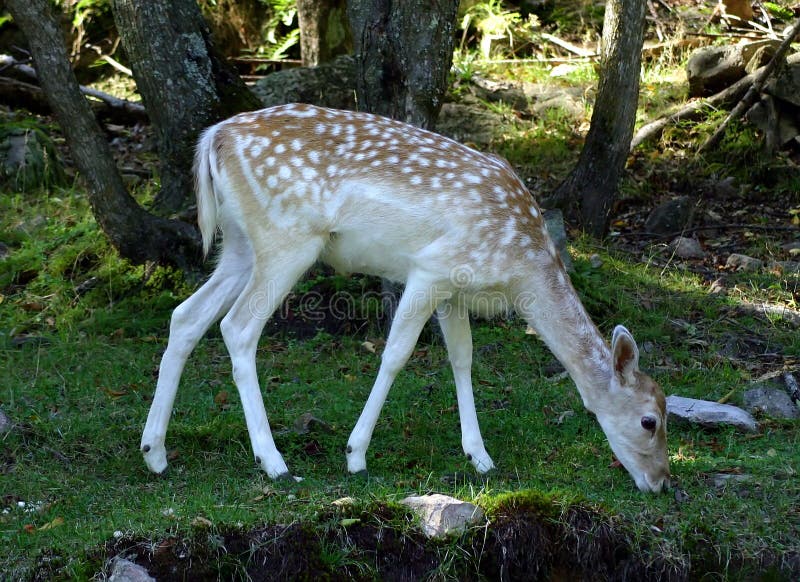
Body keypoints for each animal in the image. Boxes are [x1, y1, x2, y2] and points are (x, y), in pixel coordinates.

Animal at [140, 103, 670, 493]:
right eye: (649, 421)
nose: (662, 482)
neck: (520, 270)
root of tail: (214, 137)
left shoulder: (456, 288)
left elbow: (463, 357)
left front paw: (480, 456)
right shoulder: (430, 268)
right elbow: (396, 353)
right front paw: (355, 454)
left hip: (238, 244)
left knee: (185, 316)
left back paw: (155, 452)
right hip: (287, 239)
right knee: (237, 327)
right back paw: (274, 461)